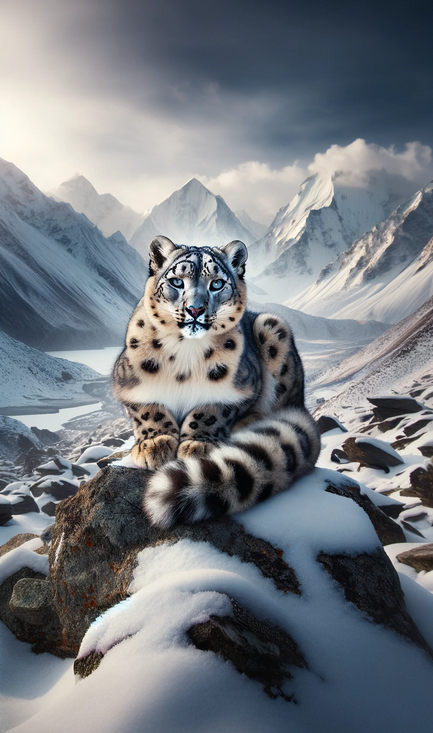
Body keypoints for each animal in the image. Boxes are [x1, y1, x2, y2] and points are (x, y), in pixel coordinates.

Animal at [112, 235, 321, 529]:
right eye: (177, 281)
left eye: (217, 284)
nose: (195, 309)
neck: (185, 353)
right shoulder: (125, 380)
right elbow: (147, 408)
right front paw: (155, 443)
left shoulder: (240, 386)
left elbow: (212, 409)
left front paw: (197, 444)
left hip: (273, 328)